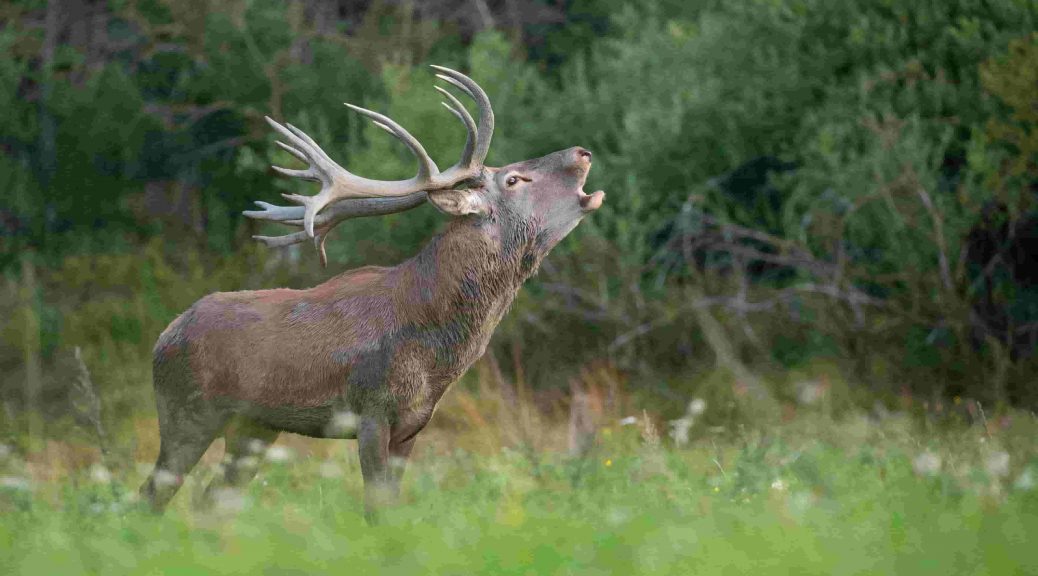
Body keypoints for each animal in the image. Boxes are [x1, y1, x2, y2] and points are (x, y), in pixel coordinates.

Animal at [139, 66, 605, 518]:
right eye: (513, 179)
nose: (582, 152)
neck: (436, 353)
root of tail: (164, 335)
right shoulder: (371, 410)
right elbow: (375, 507)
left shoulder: (414, 424)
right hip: (187, 410)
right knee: (151, 495)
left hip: (254, 427)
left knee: (211, 500)